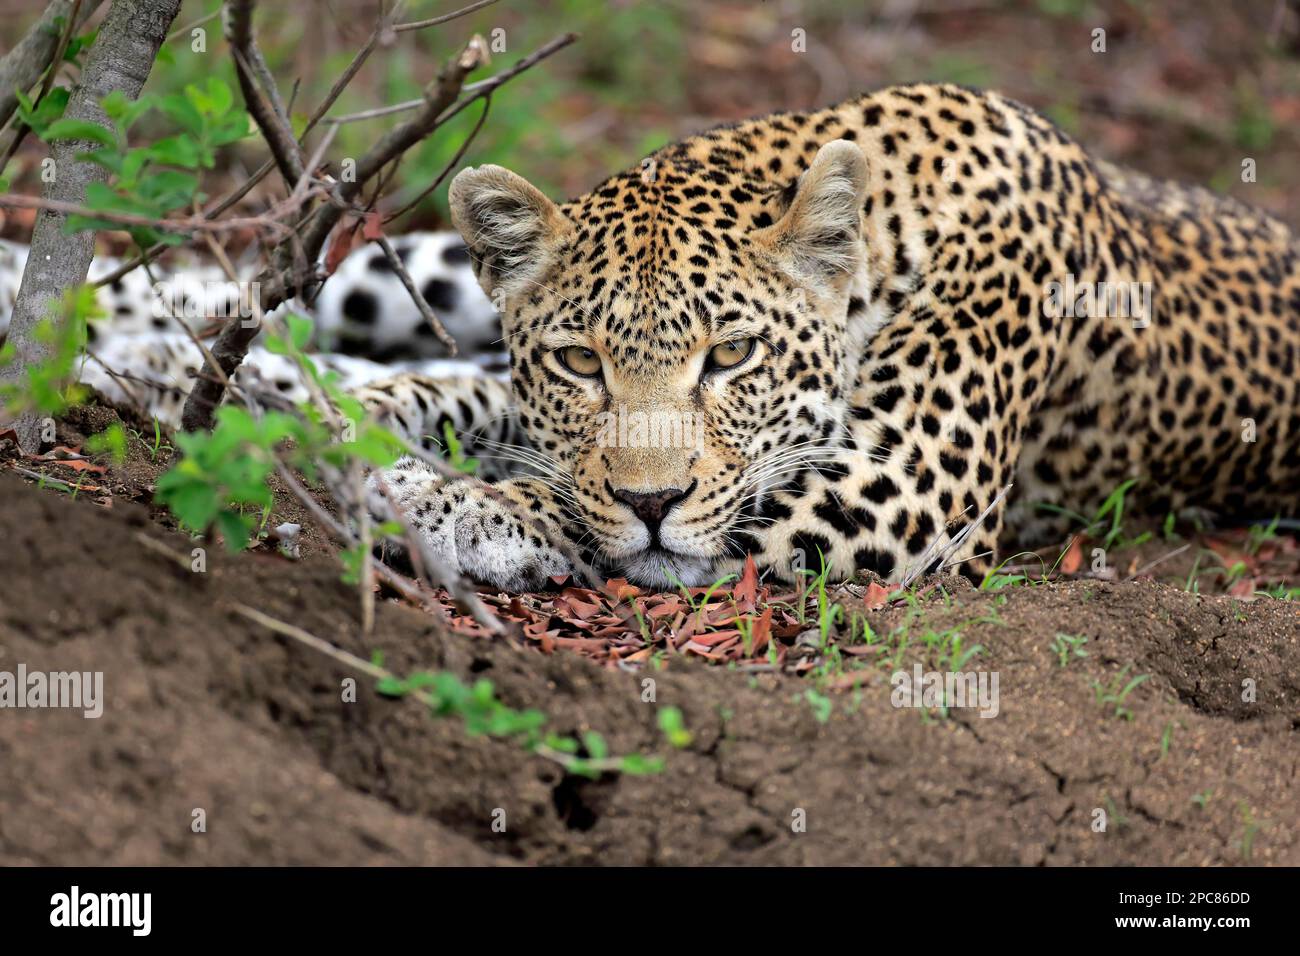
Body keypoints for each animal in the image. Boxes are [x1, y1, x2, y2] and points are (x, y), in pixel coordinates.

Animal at [361, 82, 1300, 593]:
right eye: (580, 362)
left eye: (731, 354)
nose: (652, 504)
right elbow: (483, 403)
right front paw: (360, 423)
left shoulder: (909, 481)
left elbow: (587, 502)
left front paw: (451, 505)